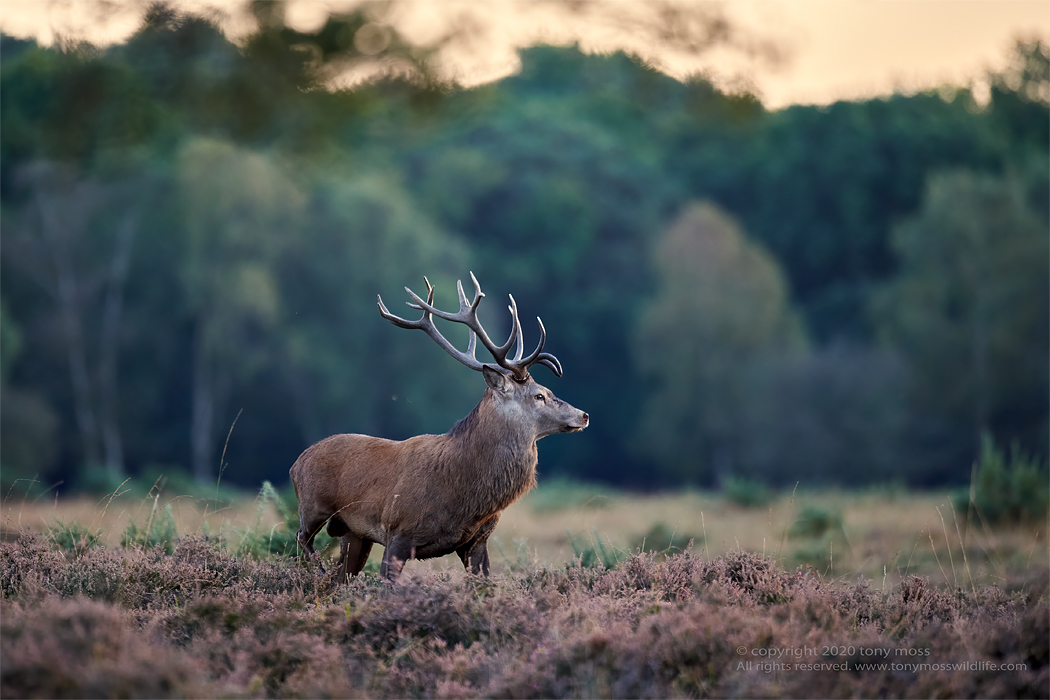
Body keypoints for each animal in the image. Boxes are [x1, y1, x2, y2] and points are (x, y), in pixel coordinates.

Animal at [289, 273, 589, 582]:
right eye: (539, 395)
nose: (584, 415)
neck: (464, 495)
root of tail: (297, 462)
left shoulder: (476, 540)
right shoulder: (398, 530)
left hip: (354, 534)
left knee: (341, 575)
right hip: (313, 505)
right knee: (301, 537)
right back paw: (317, 568)